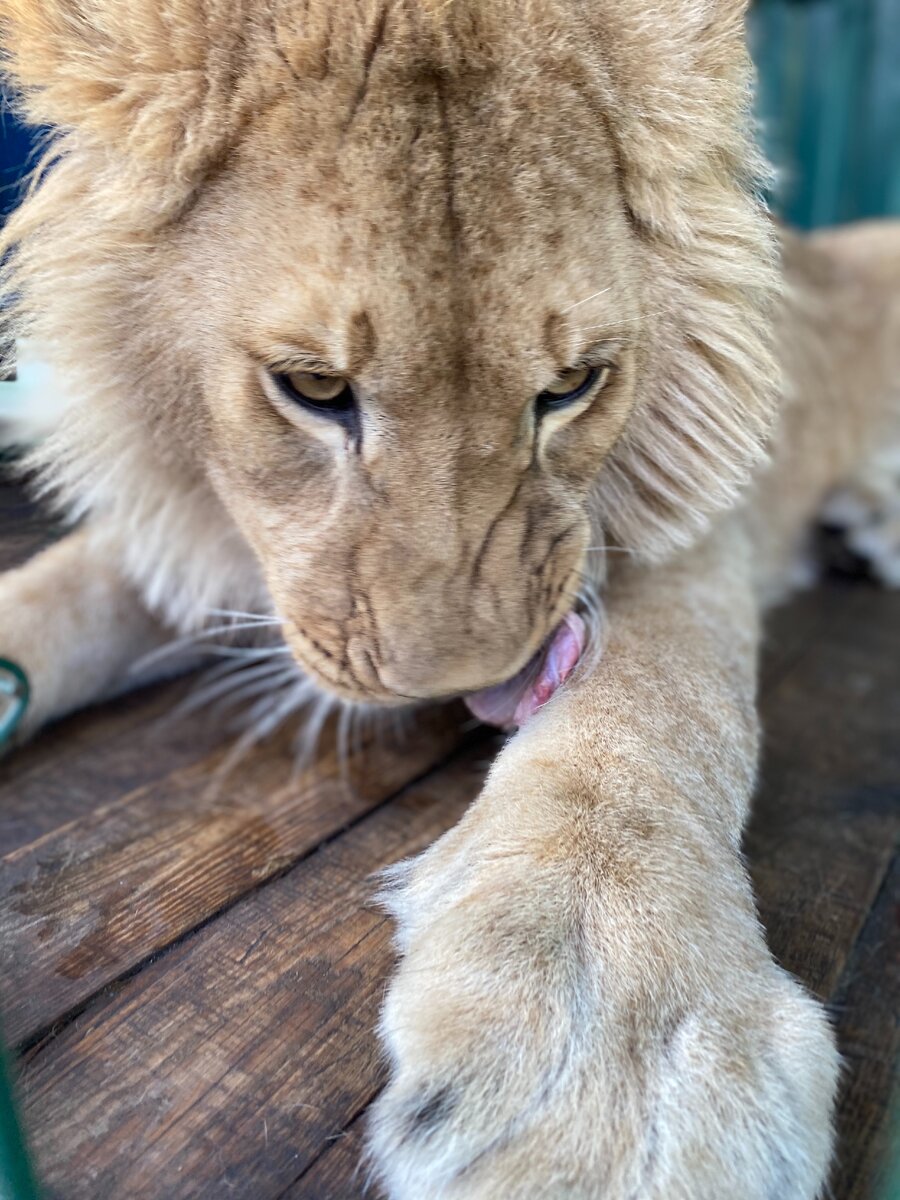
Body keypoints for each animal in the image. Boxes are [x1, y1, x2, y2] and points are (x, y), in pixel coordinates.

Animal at [1, 0, 900, 1195]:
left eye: (572, 387)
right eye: (313, 388)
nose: (463, 686)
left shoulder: (703, 517)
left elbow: (654, 706)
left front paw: (617, 1035)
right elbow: (63, 593)